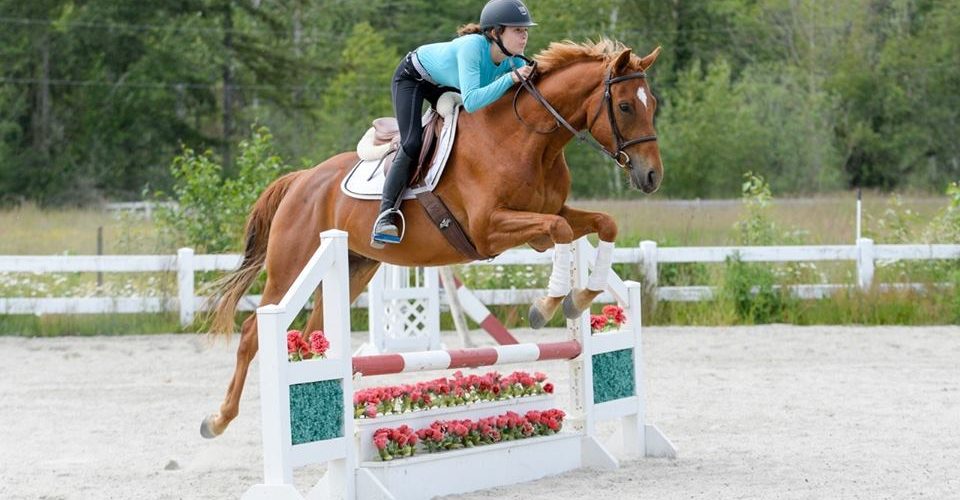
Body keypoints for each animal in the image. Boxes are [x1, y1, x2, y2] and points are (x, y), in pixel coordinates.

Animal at [200, 39, 664, 438]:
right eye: (625, 106)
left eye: (653, 105)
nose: (651, 176)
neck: (528, 140)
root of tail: (301, 180)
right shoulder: (489, 228)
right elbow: (561, 231)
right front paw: (547, 304)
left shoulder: (547, 218)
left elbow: (603, 224)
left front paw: (581, 296)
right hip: (291, 266)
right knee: (252, 333)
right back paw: (218, 419)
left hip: (353, 268)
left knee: (314, 332)